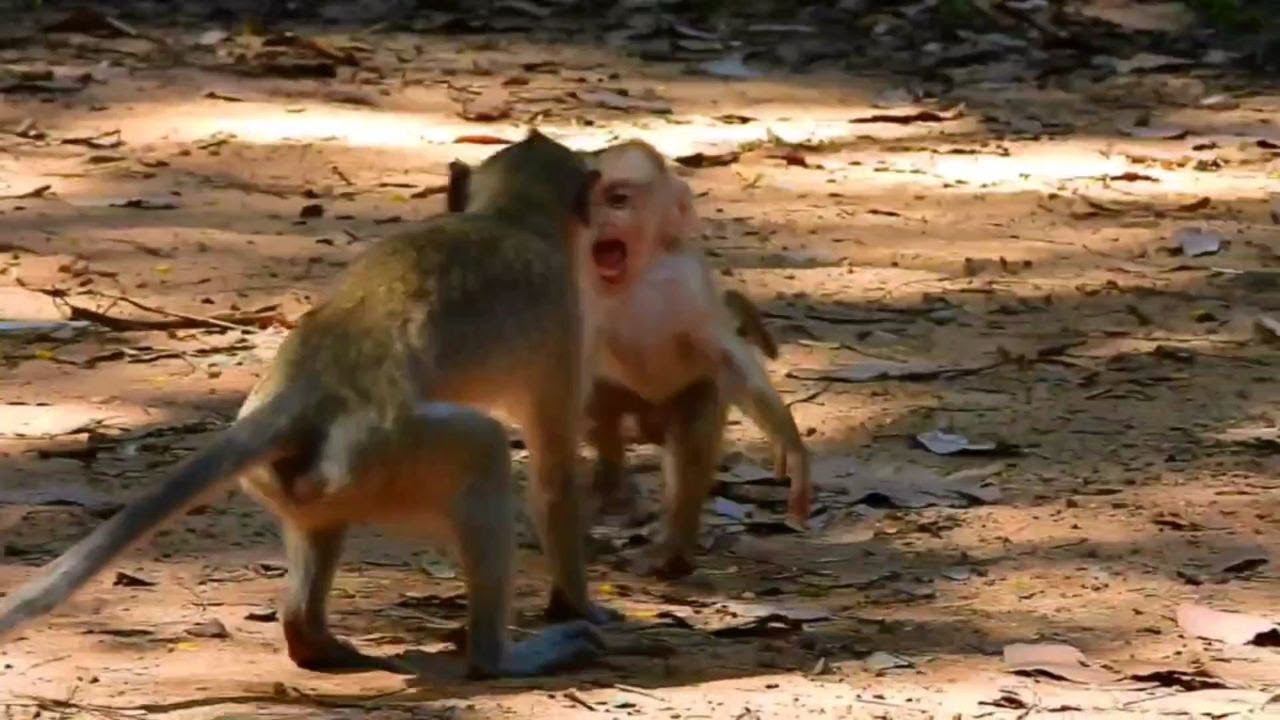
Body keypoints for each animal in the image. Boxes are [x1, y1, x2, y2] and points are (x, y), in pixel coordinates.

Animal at [0, 129, 617, 680]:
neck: (510, 216)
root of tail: (309, 382)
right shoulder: (569, 319)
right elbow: (555, 475)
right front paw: (580, 604)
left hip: (317, 473)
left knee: (320, 519)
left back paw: (310, 637)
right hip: (393, 453)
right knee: (483, 450)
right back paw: (497, 659)